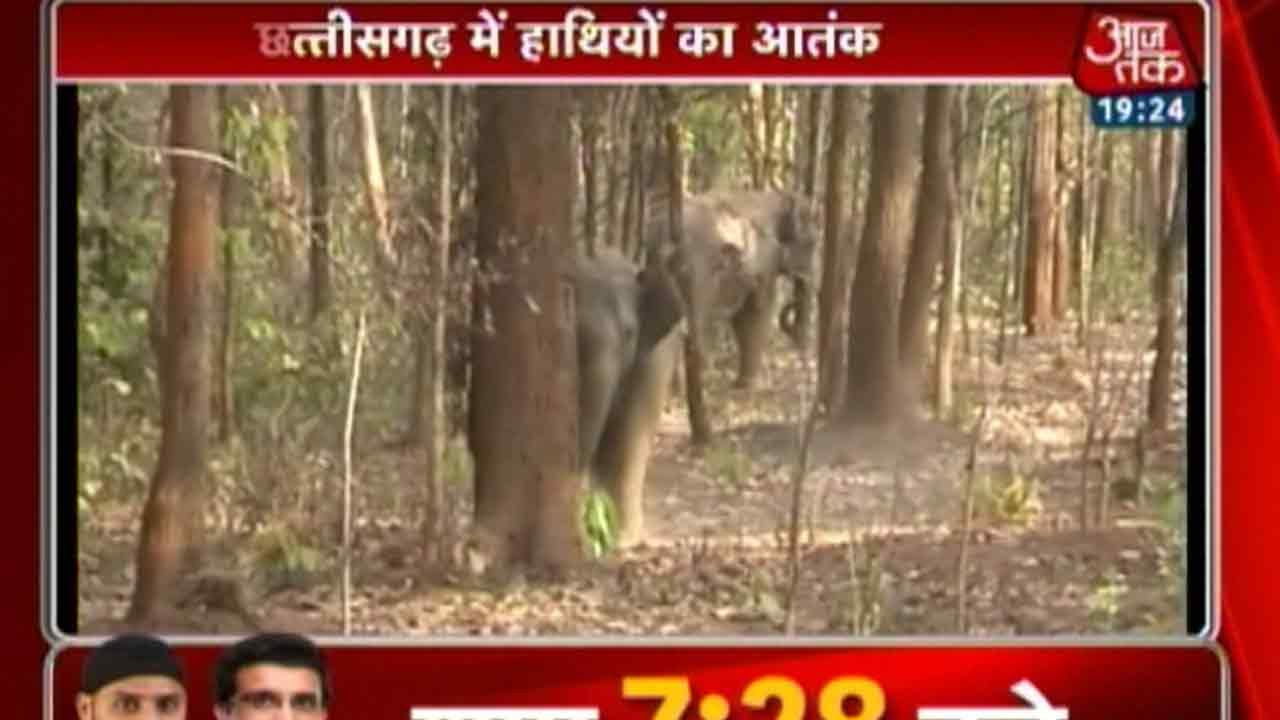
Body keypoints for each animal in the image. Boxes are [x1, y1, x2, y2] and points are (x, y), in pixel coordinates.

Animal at [648, 189, 820, 389]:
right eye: (812, 243)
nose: (806, 370)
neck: (772, 196)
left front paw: (743, 383)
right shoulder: (765, 260)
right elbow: (756, 312)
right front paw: (751, 384)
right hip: (697, 274)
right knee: (699, 322)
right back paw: (699, 377)